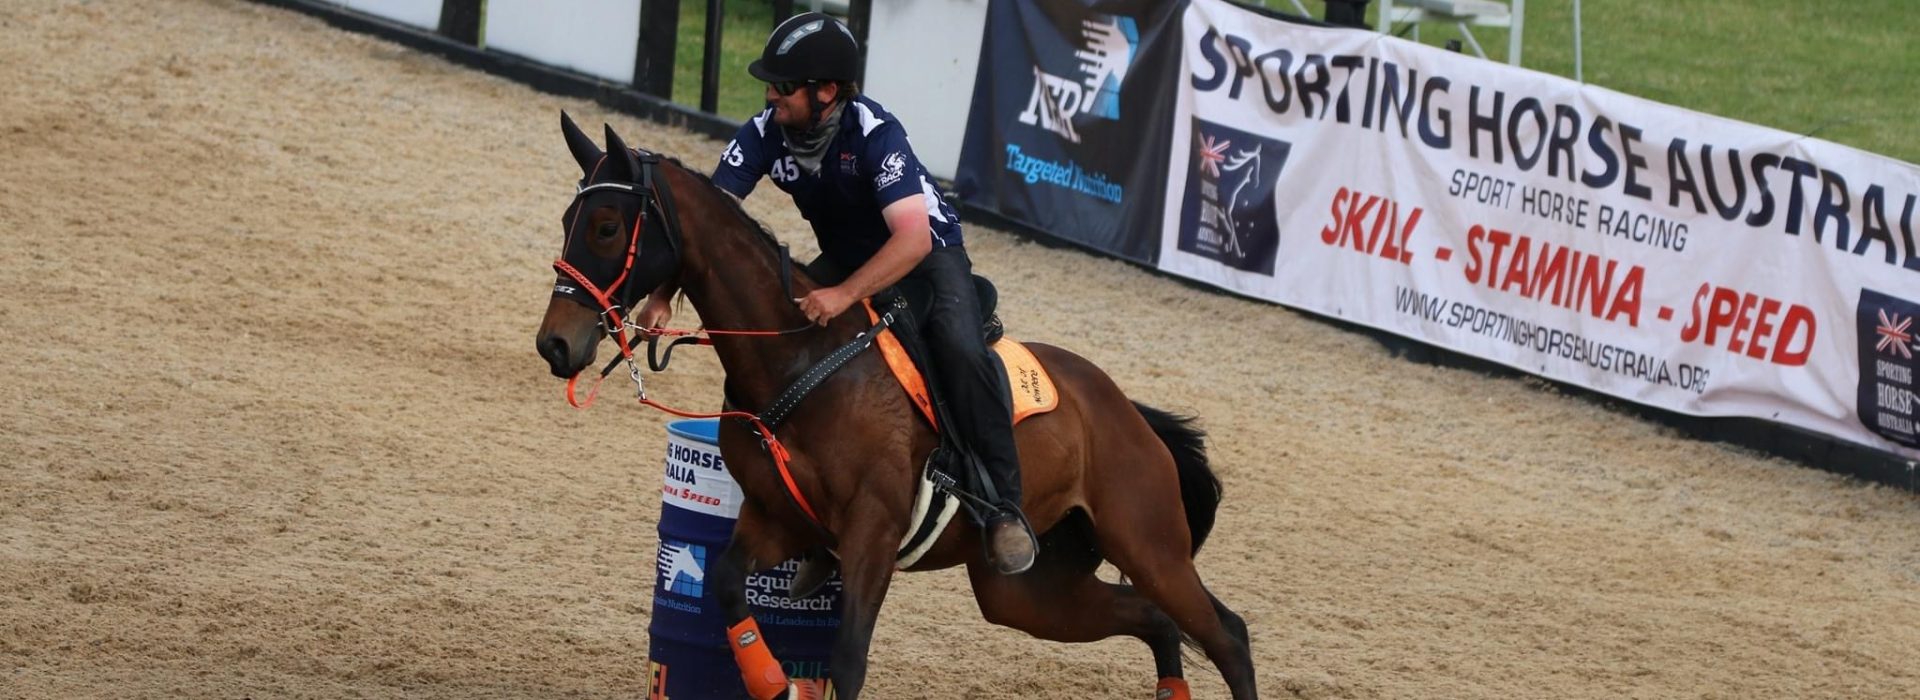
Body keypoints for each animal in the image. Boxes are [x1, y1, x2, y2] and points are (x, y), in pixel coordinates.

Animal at [534, 113, 1259, 700]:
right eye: (568, 223)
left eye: (606, 227)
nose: (555, 343)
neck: (800, 354)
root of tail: (1128, 412)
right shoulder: (777, 519)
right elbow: (729, 587)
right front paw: (772, 683)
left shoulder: (873, 534)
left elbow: (848, 661)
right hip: (1029, 591)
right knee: (1156, 622)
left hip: (1150, 546)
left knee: (1227, 634)